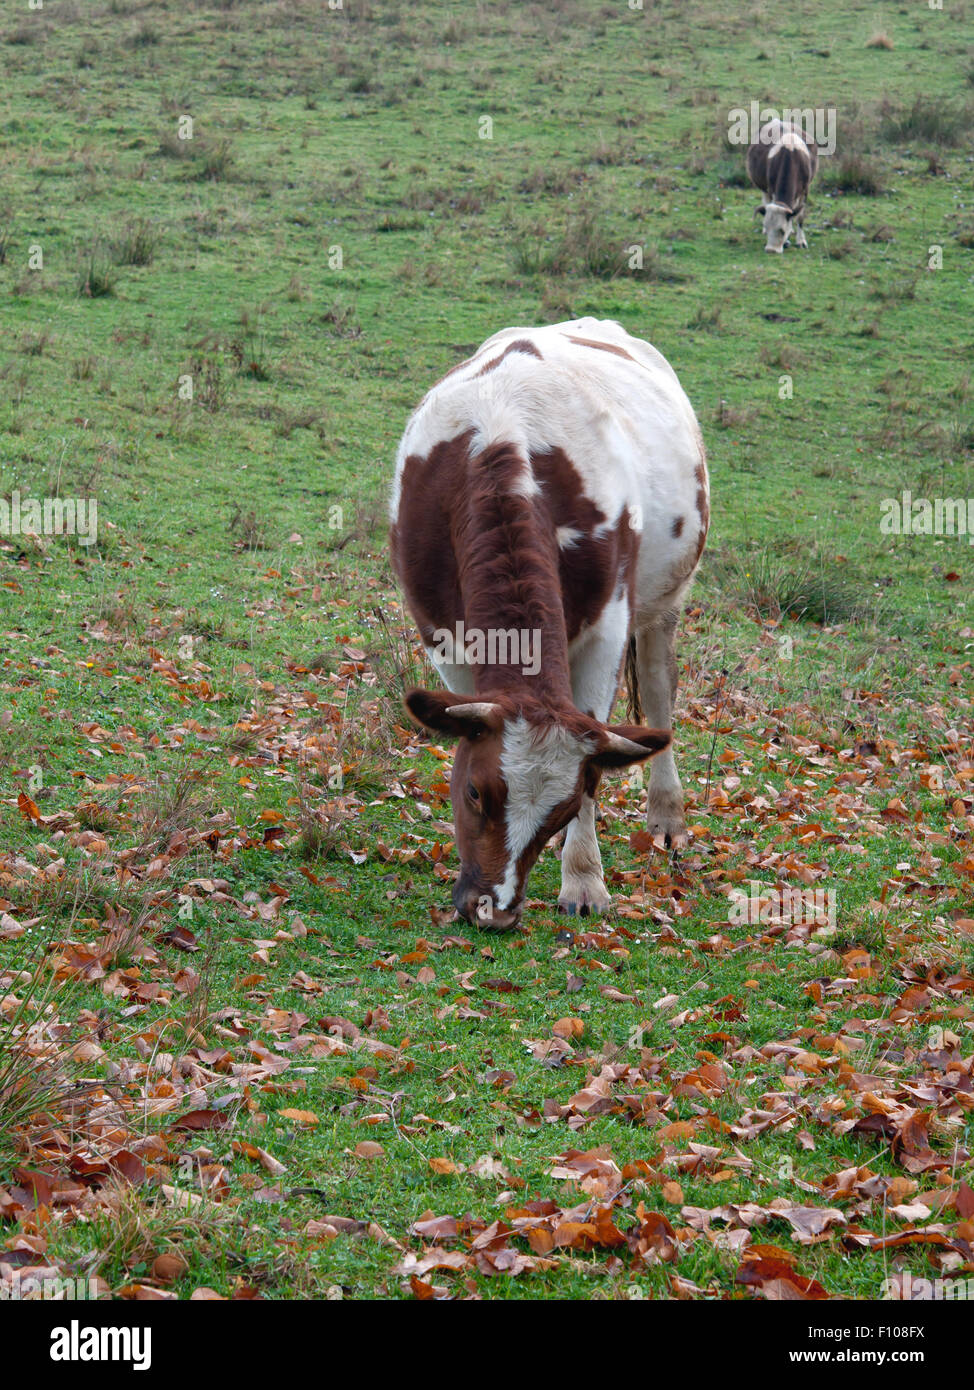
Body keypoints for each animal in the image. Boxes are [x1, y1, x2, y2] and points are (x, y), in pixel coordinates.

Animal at [389, 318, 709, 929]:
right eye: (474, 793)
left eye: (561, 811)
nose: (492, 911)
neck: (501, 440)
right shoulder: (444, 638)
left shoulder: (608, 627)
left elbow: (596, 740)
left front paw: (583, 878)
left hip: (665, 601)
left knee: (659, 692)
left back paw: (667, 815)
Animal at [746, 118, 818, 253]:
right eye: (767, 226)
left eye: (782, 230)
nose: (771, 250)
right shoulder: (771, 189)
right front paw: (786, 241)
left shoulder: (805, 191)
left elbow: (799, 216)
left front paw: (801, 241)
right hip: (764, 188)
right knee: (765, 201)